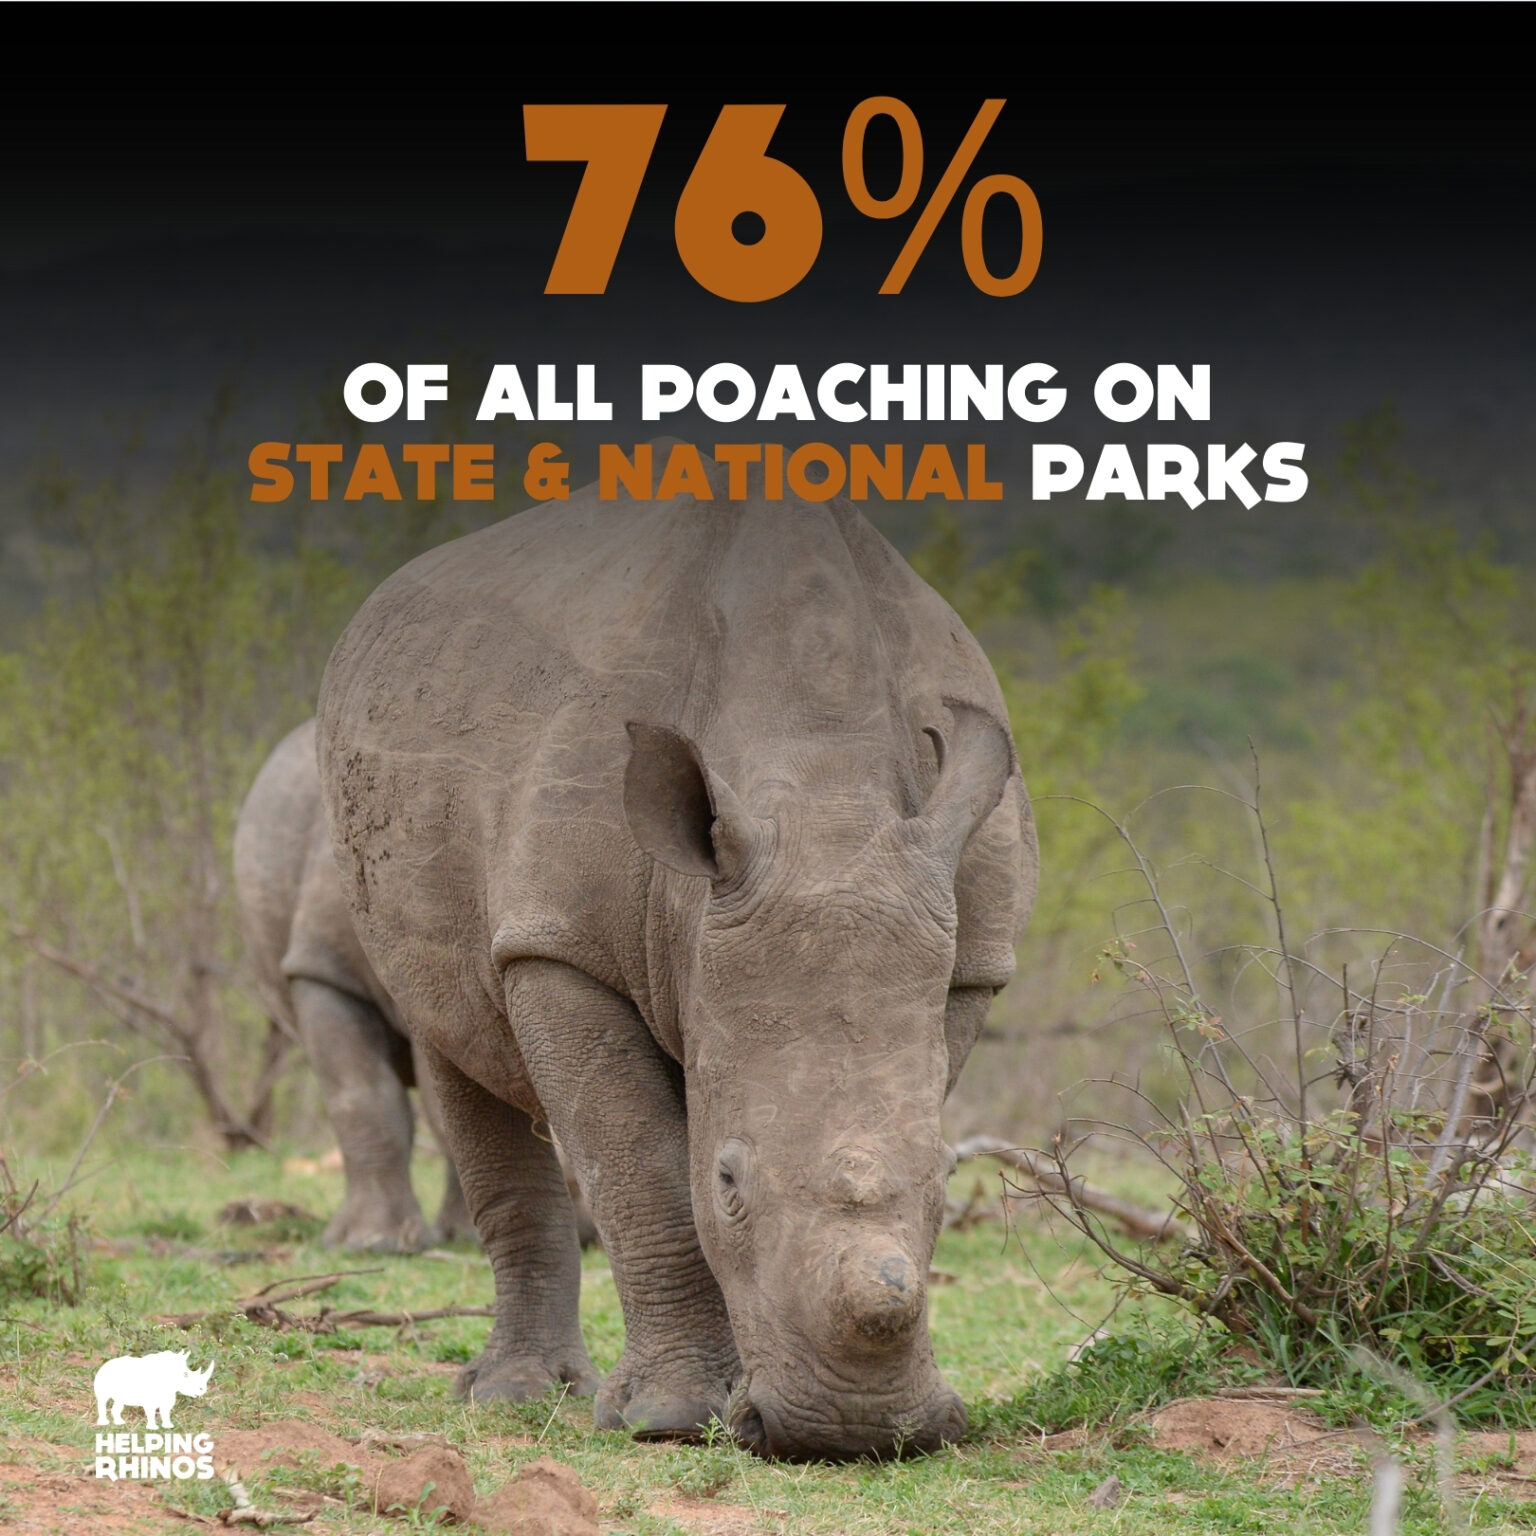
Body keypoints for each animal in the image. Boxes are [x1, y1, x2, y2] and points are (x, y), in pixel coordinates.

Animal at [316, 467, 1036, 1458]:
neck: (822, 790)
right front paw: (672, 1419)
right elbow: (645, 1166)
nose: (851, 1431)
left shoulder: (967, 959)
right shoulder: (561, 944)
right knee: (452, 1033)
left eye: (950, 1185)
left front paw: (729, 1405)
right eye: (728, 1185)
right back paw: (513, 1398)